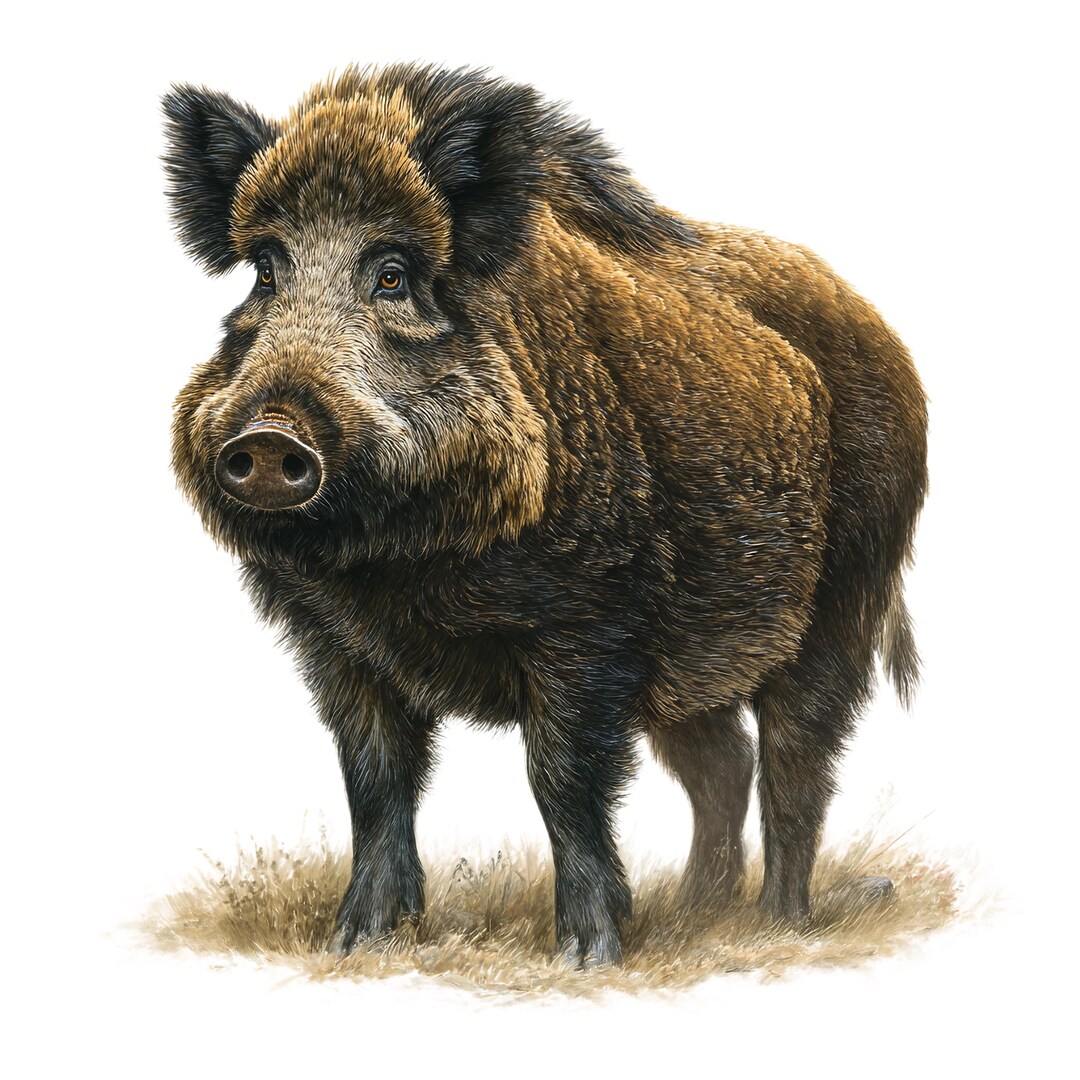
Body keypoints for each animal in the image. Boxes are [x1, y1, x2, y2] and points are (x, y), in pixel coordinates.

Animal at [163, 63, 928, 967]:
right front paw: (355, 946)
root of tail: (884, 339)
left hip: (846, 596)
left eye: (392, 272)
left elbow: (561, 780)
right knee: (723, 765)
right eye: (265, 271)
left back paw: (774, 926)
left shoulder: (593, 623)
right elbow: (374, 780)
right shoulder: (332, 640)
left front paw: (587, 956)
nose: (269, 439)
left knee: (794, 763)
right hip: (695, 657)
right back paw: (695, 914)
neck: (397, 565)